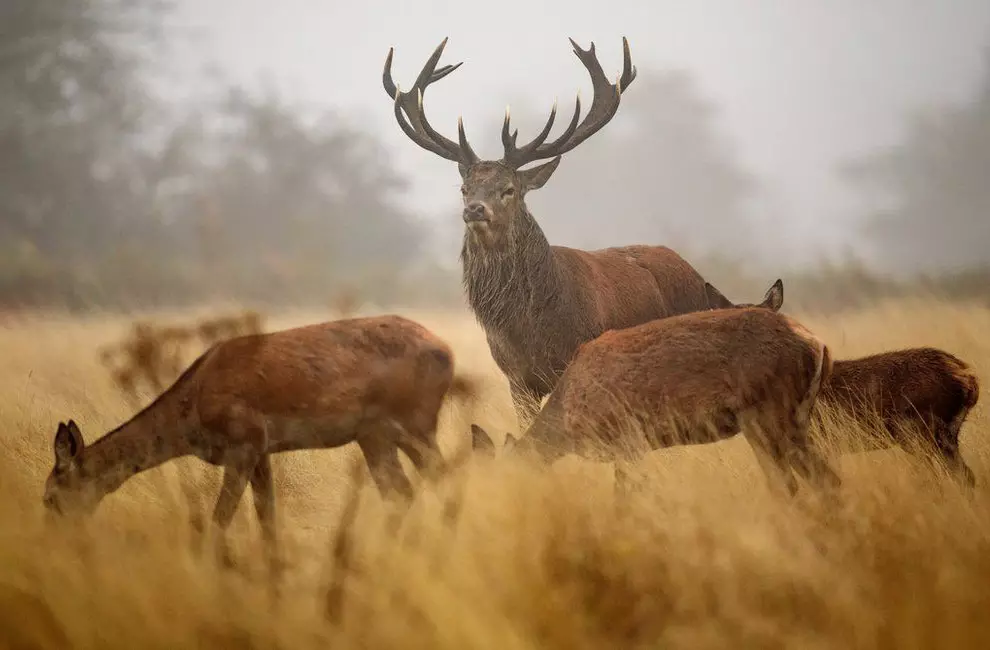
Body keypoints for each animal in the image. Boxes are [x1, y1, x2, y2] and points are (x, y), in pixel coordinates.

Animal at [44, 314, 478, 568]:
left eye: (50, 495)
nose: (54, 539)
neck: (190, 413)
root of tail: (449, 353)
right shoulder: (262, 450)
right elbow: (267, 516)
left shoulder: (244, 441)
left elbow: (220, 518)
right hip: (377, 436)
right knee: (406, 489)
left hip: (411, 423)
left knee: (438, 481)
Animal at [468, 306, 840, 496]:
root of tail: (818, 344)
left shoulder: (627, 438)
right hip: (795, 418)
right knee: (827, 480)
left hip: (767, 411)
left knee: (789, 484)